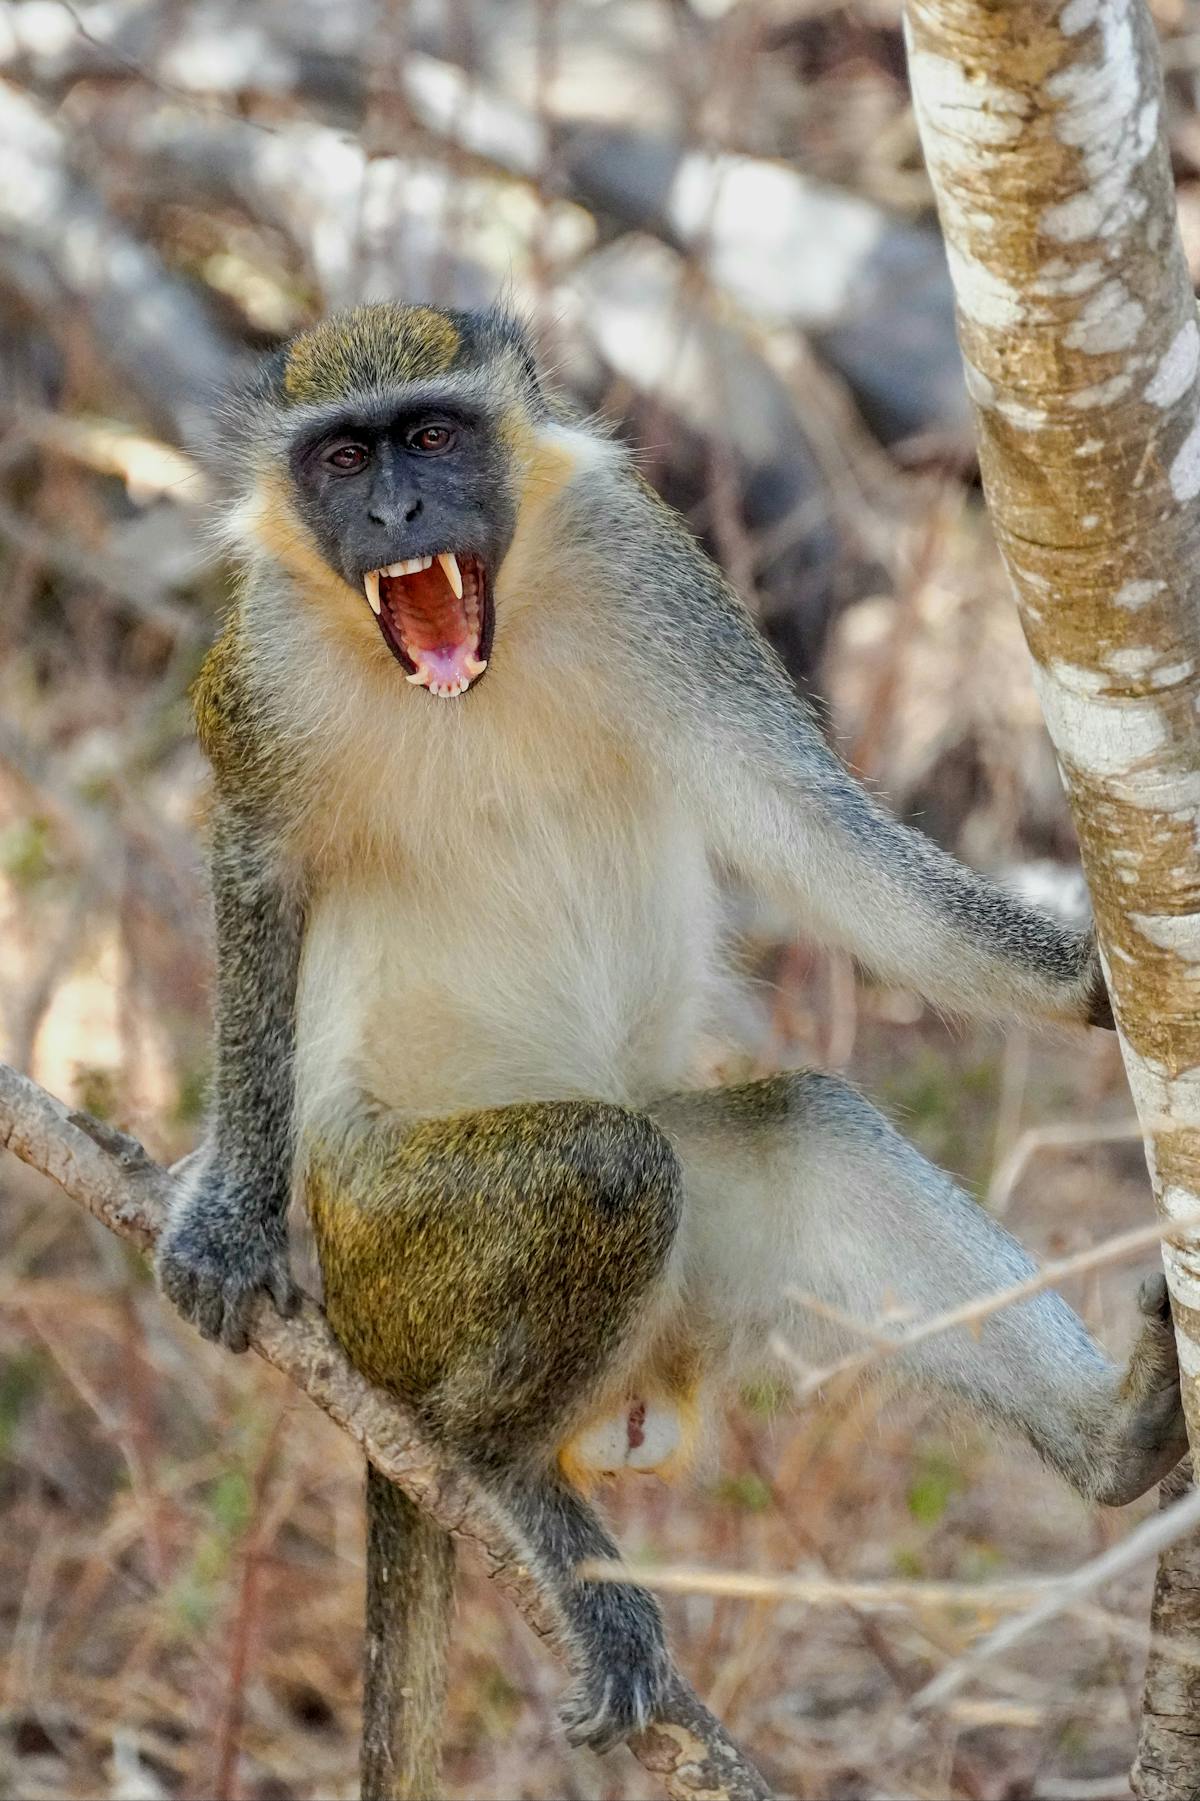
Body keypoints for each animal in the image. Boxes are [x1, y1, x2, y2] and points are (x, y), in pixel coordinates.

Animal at [157, 301, 1185, 1774]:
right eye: (343, 458)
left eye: (432, 437)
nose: (399, 509)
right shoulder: (265, 671)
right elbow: (255, 874)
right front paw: (229, 1216)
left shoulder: (648, 572)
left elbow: (814, 835)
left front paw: (1086, 977)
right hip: (384, 1252)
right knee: (611, 1167)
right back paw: (508, 1476)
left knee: (808, 1129)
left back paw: (1117, 1438)